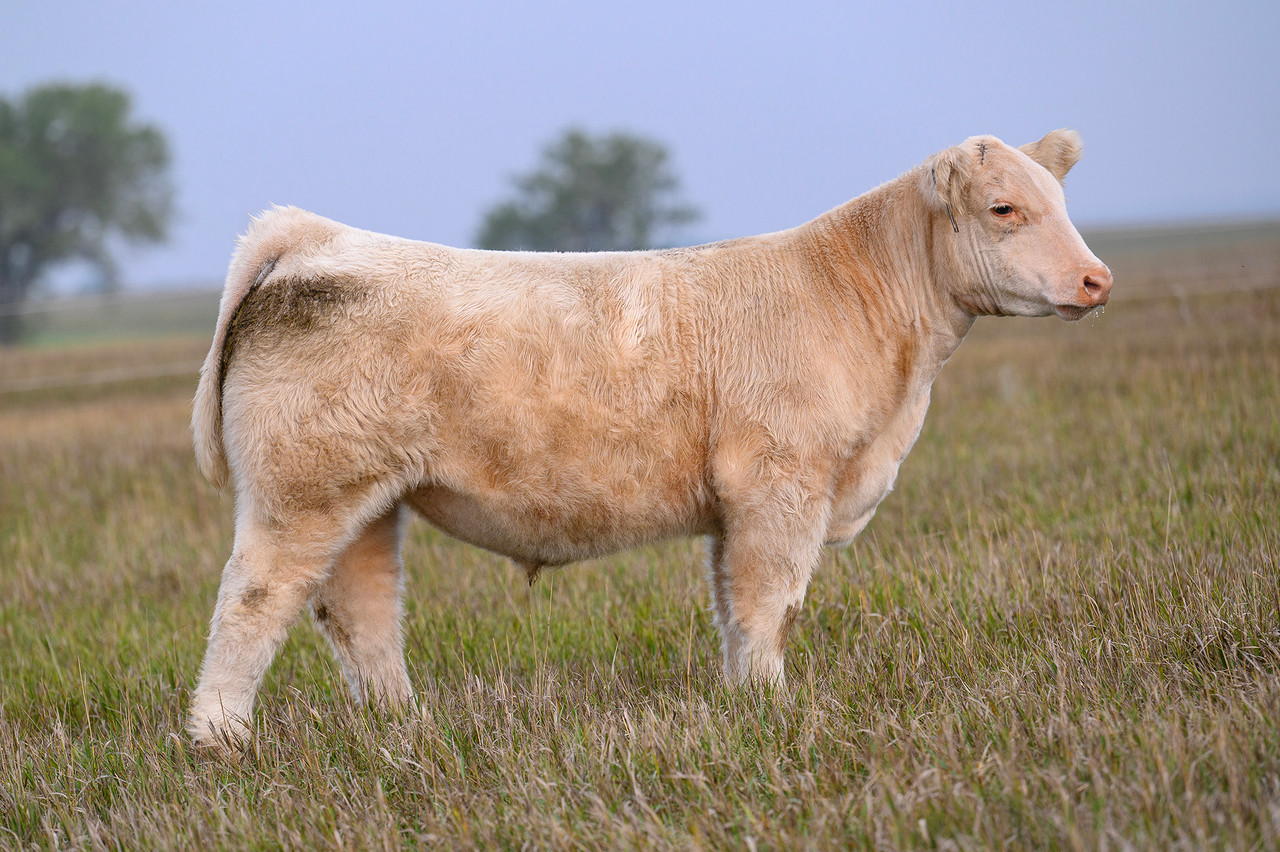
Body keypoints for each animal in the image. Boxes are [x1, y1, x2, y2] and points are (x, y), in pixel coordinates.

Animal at [188, 130, 1111, 746]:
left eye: (1062, 202)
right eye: (1003, 207)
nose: (1096, 279)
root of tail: (315, 237)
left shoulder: (741, 505)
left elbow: (736, 609)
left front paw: (746, 705)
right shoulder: (780, 485)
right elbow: (772, 604)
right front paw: (773, 711)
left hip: (368, 503)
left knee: (361, 611)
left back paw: (403, 727)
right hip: (298, 499)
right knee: (251, 606)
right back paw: (219, 745)